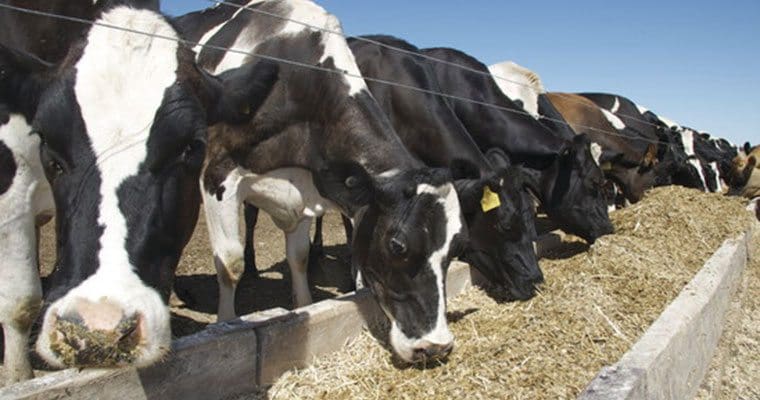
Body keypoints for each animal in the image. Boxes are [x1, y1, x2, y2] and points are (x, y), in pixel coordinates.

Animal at [175, 0, 467, 363]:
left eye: (457, 248)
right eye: (396, 245)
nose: (436, 346)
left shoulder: (305, 187)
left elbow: (299, 257)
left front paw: (304, 307)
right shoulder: (217, 173)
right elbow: (230, 262)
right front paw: (225, 324)